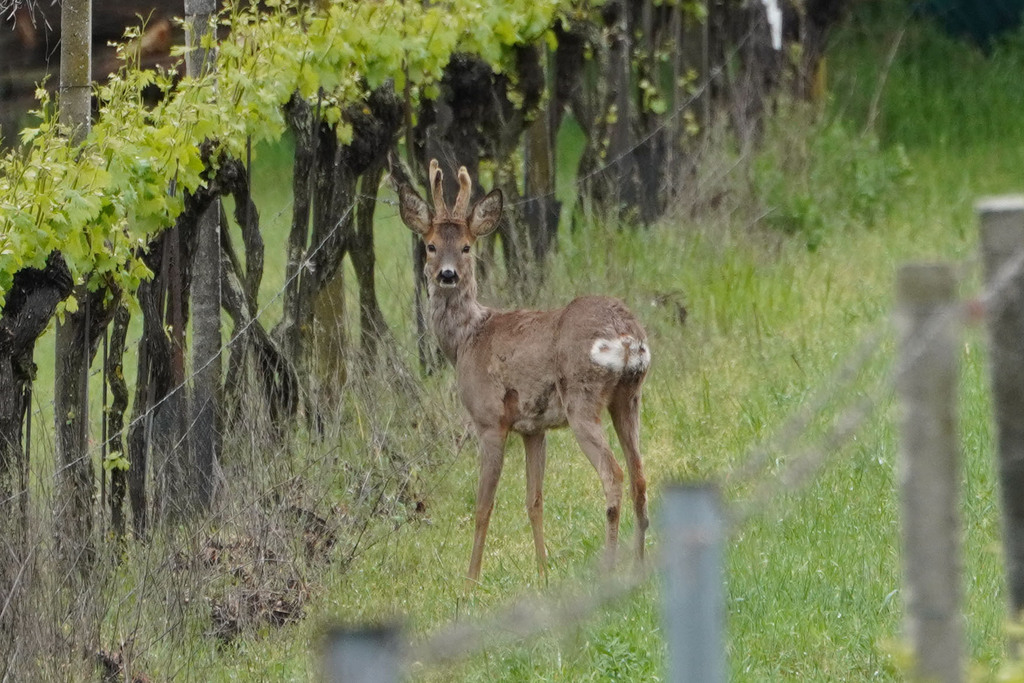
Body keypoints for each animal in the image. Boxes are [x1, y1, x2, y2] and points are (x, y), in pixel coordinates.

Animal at [398, 159, 651, 584]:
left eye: (466, 246)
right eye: (430, 245)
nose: (447, 275)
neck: (466, 340)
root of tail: (627, 334)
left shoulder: (489, 420)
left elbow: (483, 506)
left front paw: (471, 580)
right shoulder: (534, 428)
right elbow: (534, 500)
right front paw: (543, 572)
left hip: (582, 399)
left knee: (613, 474)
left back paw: (609, 565)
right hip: (628, 398)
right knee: (638, 473)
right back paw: (640, 563)